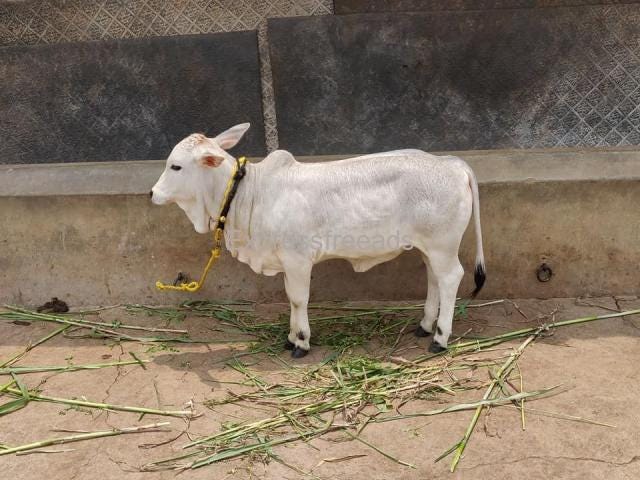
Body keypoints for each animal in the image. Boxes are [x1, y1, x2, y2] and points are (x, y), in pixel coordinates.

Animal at [151, 123, 486, 358]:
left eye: (176, 166)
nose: (152, 193)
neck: (252, 194)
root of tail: (452, 164)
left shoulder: (298, 260)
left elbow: (299, 299)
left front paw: (301, 342)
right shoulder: (287, 262)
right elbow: (291, 298)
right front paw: (290, 338)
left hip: (443, 245)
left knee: (450, 278)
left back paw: (440, 337)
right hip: (429, 247)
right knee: (434, 279)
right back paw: (425, 326)